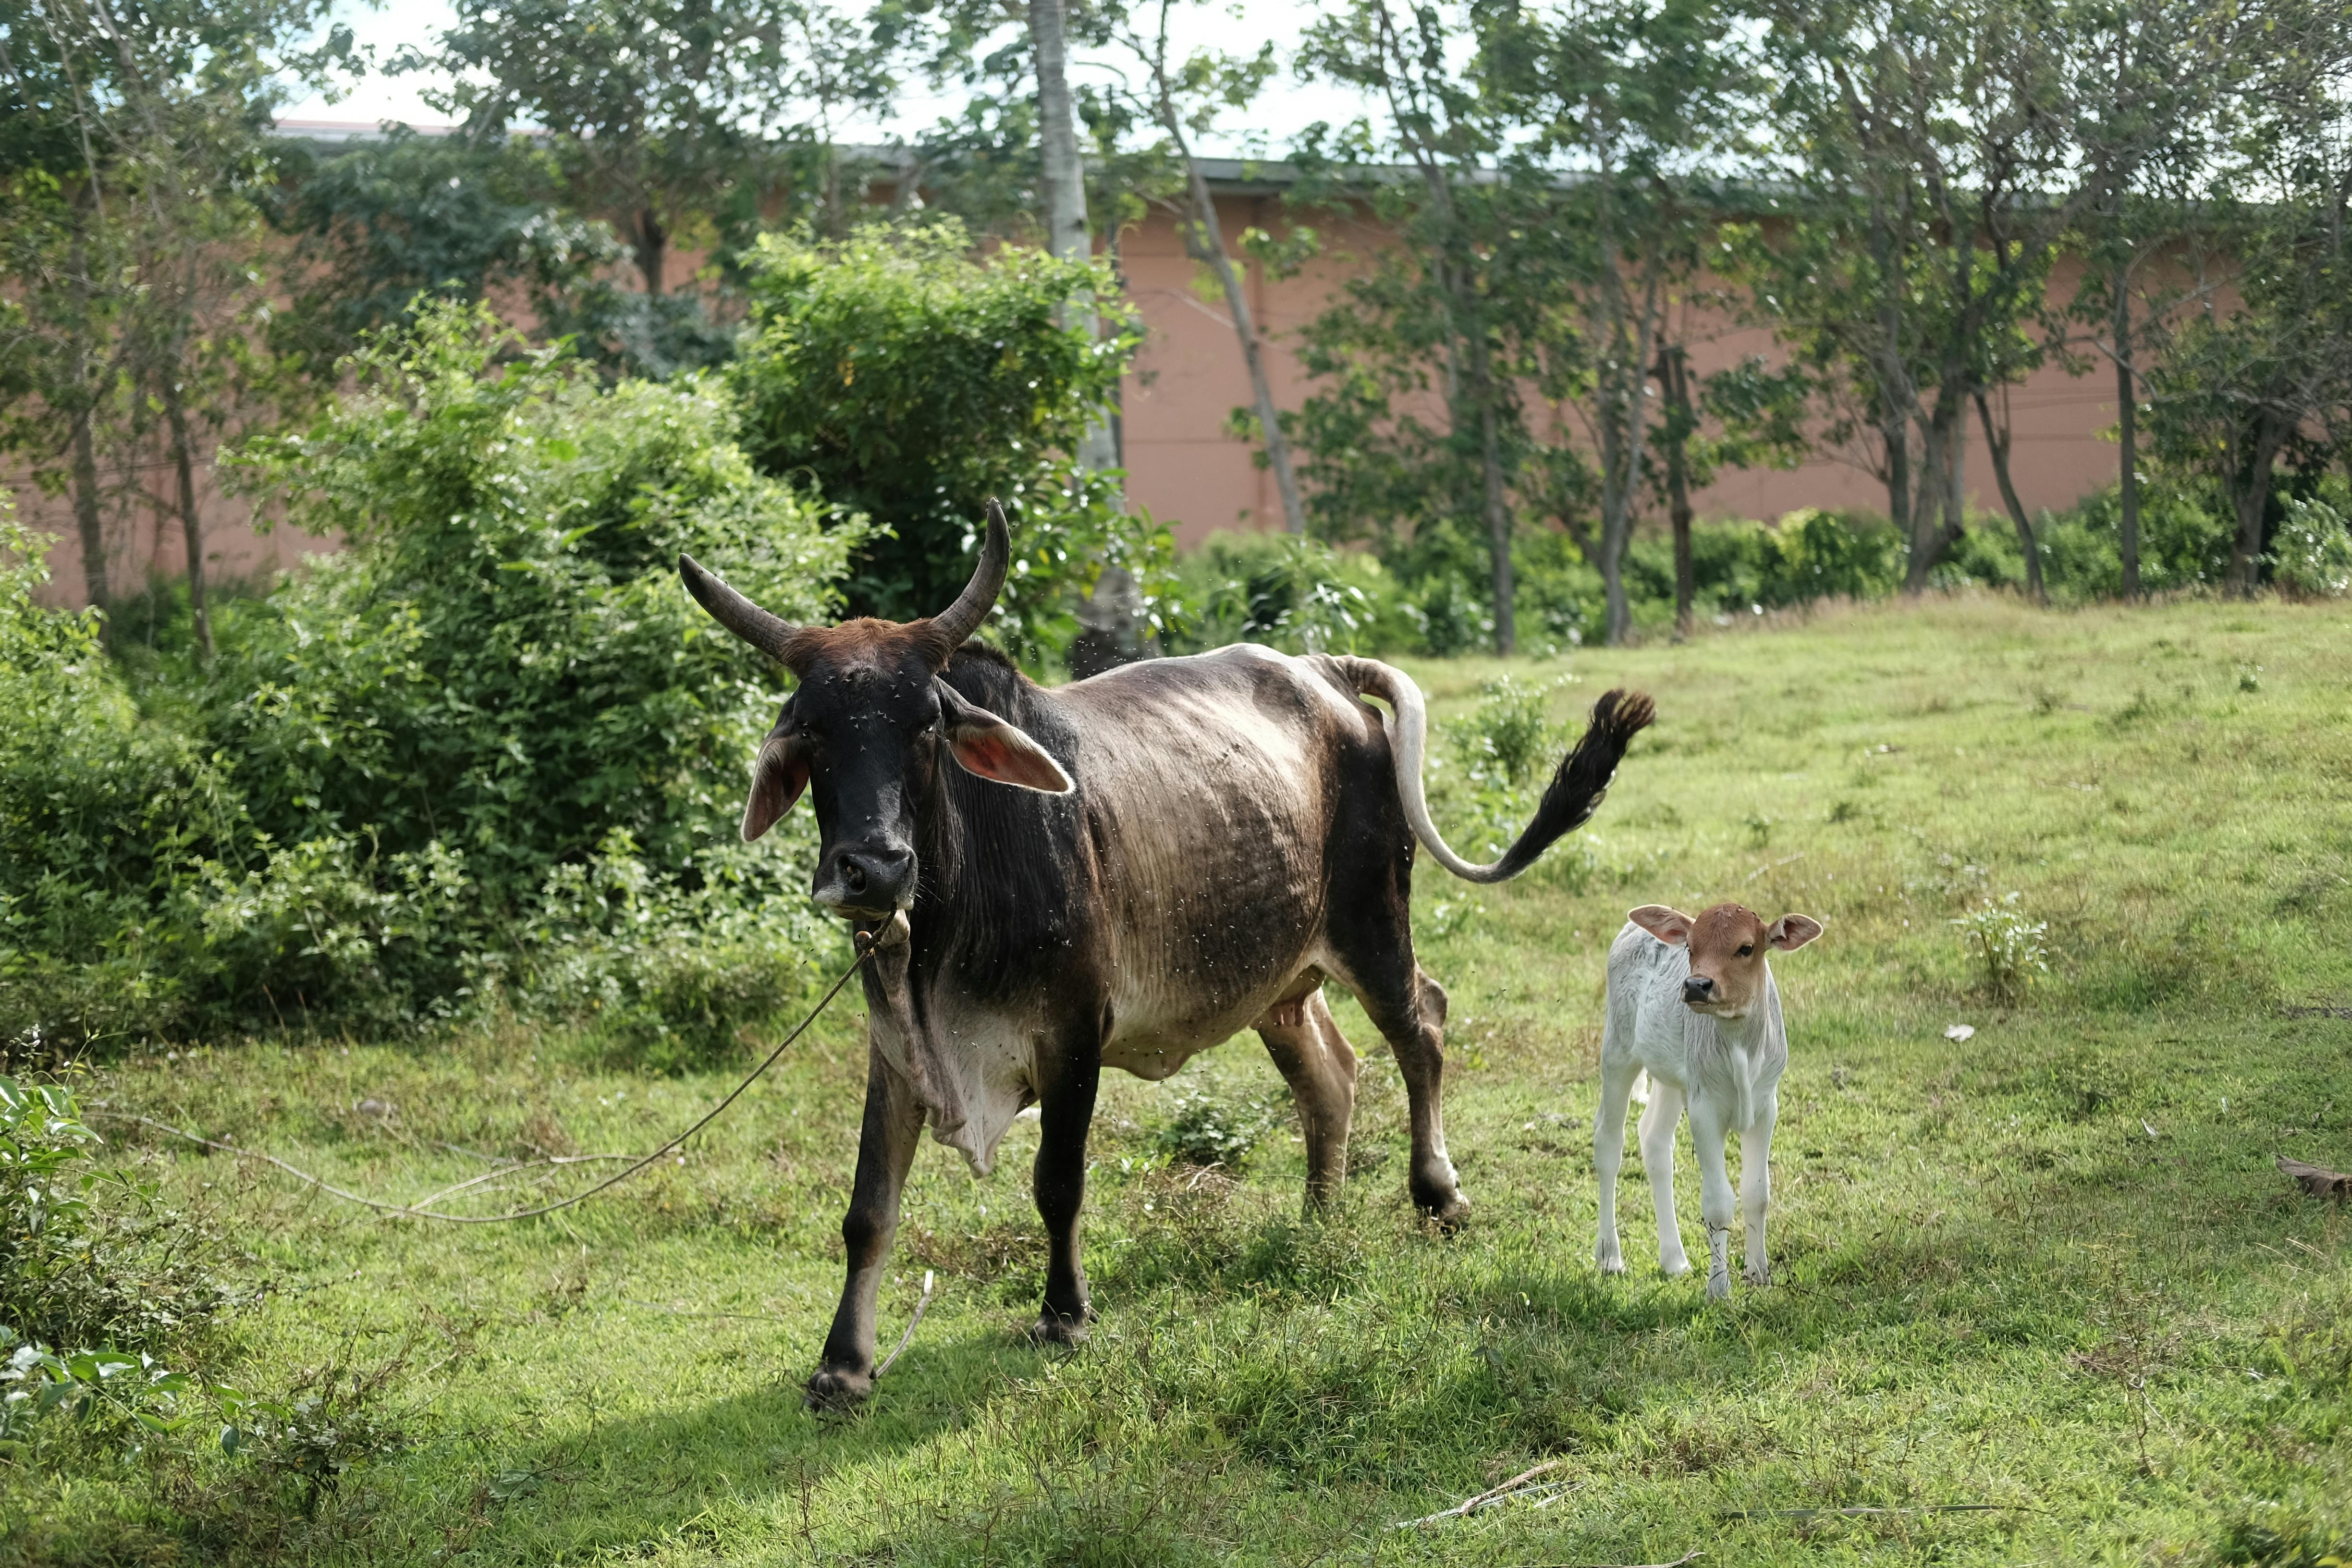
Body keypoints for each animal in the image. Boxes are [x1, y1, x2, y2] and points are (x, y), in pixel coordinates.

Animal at [679, 502, 1654, 1406]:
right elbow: (868, 1210)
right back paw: (1319, 1215)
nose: (874, 866)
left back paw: (1436, 1192)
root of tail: (1323, 670)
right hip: (1279, 978)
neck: (949, 922)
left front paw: (1064, 1314)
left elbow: (1058, 1181)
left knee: (1424, 1027)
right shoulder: (897, 1051)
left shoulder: (1074, 1036)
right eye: (812, 731)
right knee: (1330, 1075)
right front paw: (842, 1367)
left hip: (1375, 923)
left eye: (924, 724)